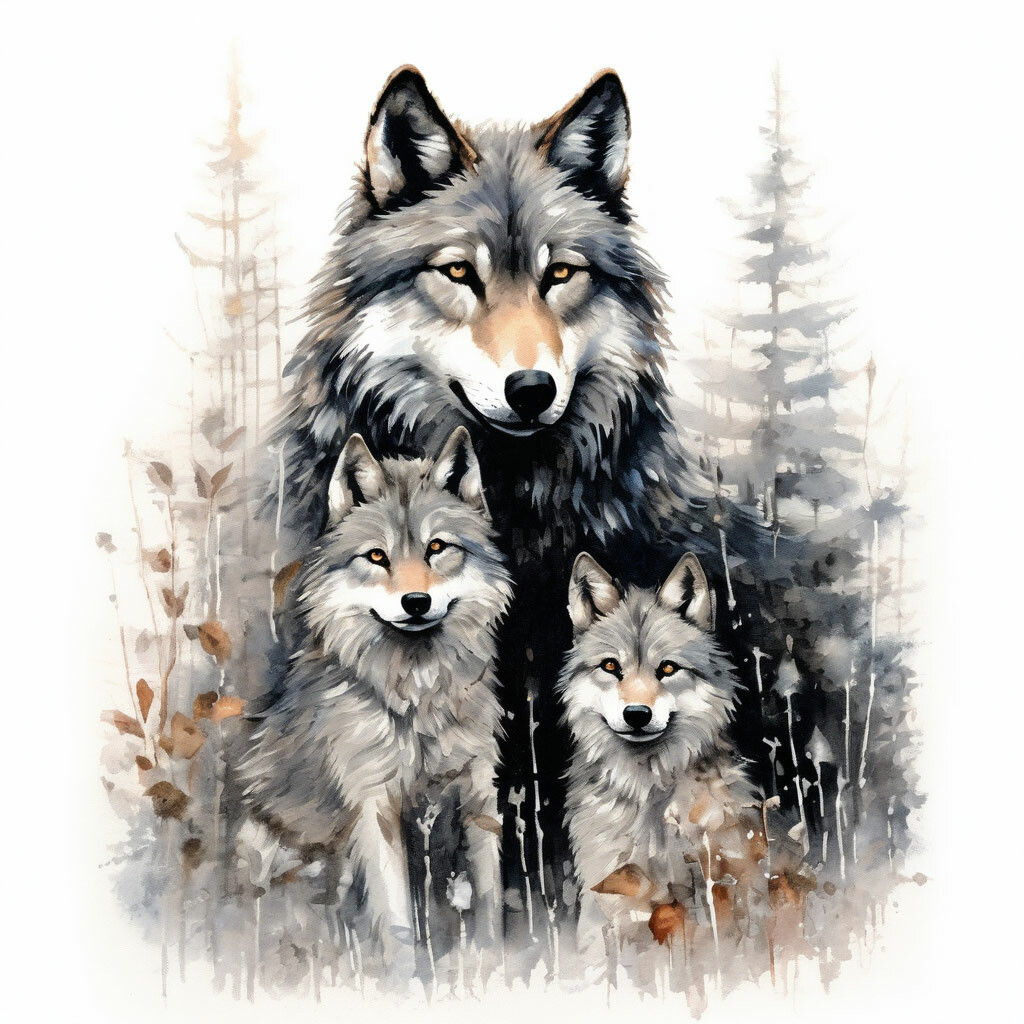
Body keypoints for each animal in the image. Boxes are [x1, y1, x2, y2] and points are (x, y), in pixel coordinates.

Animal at [238, 427, 513, 956]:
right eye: (377, 557)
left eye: (437, 548)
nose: (416, 602)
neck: (418, 696)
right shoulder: (374, 806)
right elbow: (398, 921)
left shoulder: (477, 793)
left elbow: (487, 902)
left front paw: (495, 960)